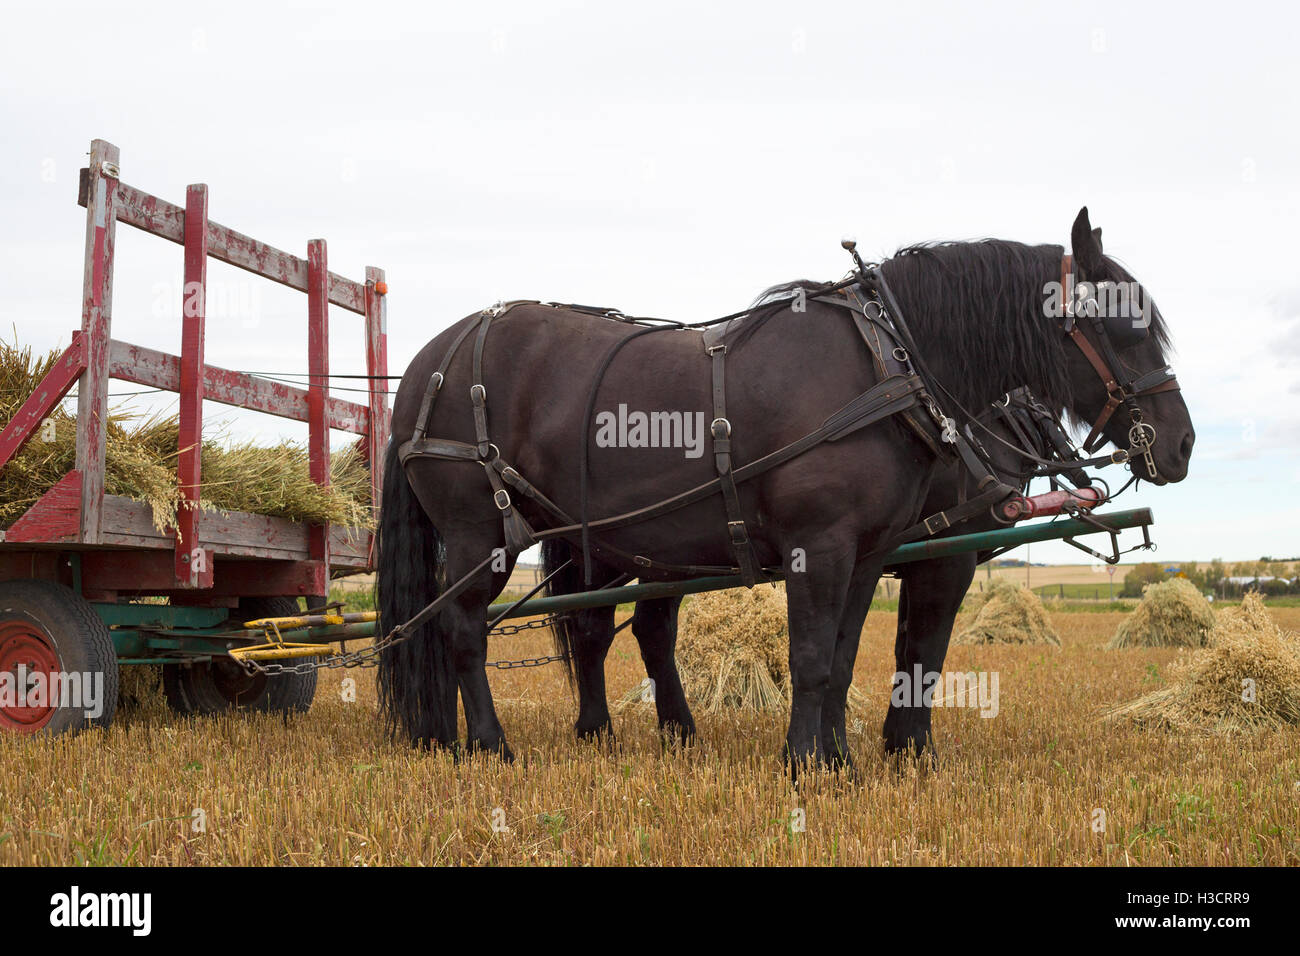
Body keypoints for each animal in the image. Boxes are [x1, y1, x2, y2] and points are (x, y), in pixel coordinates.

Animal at [376, 207, 1194, 773]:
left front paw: (843, 757)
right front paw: (810, 761)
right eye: (1126, 327)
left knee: (594, 629)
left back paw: (585, 733)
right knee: (462, 626)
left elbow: (848, 653)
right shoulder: (830, 545)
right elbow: (820, 655)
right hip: (481, 531)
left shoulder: (870, 553)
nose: (1180, 443)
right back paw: (489, 744)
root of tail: (427, 362)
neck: (887, 365)